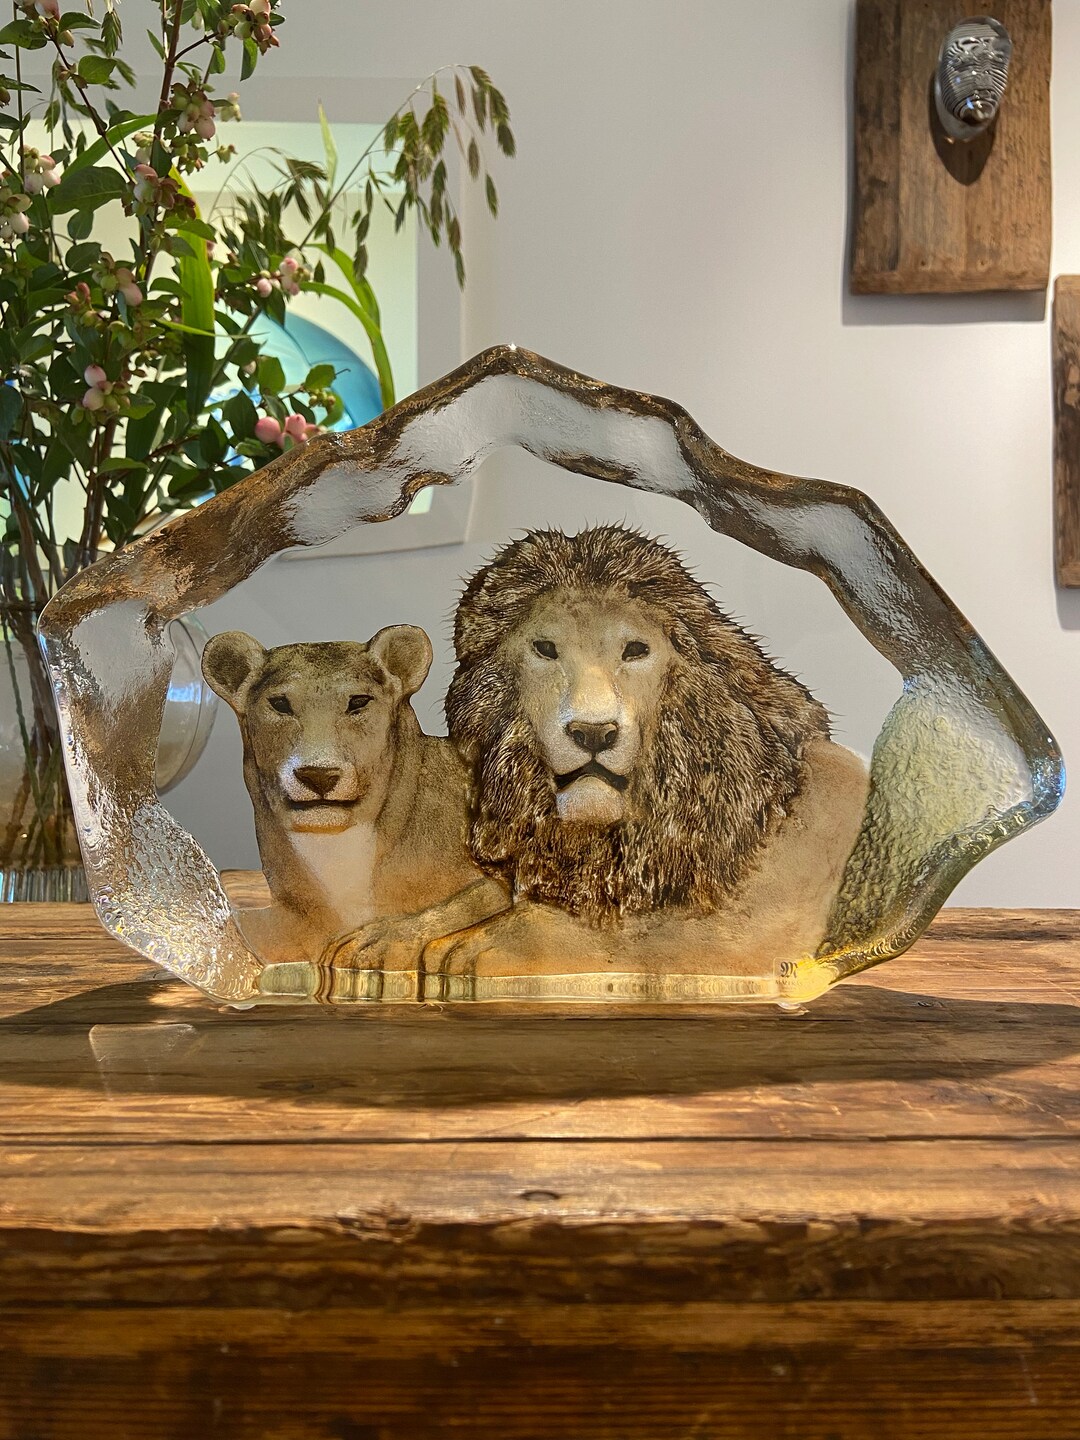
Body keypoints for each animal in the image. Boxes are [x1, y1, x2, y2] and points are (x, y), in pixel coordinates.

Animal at [202, 625, 499, 964]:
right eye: (279, 703)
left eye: (358, 702)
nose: (318, 774)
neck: (335, 850)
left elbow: (472, 903)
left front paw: (375, 943)